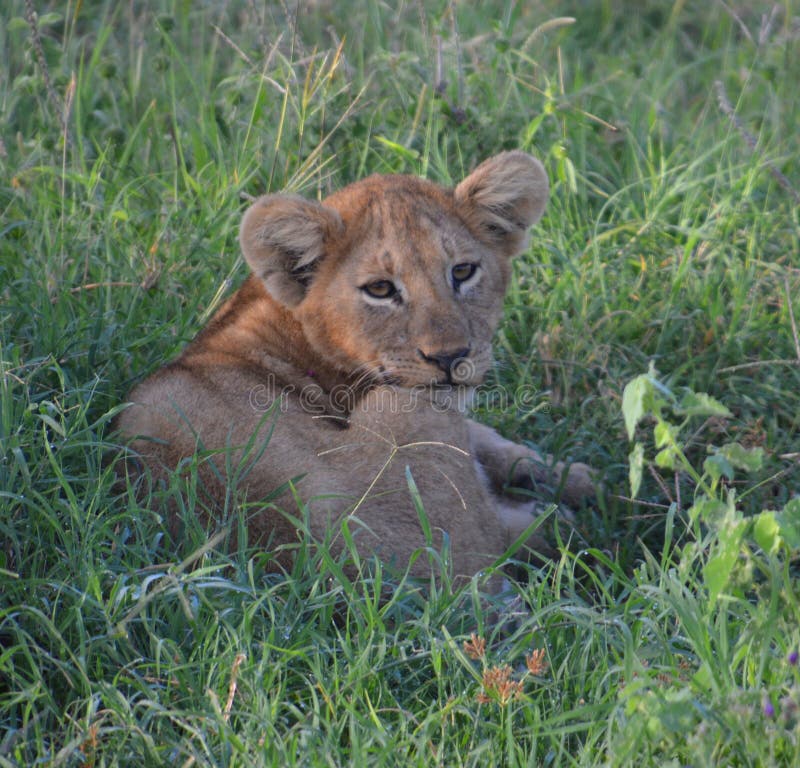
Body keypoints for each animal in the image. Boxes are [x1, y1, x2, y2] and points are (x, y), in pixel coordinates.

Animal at [115, 151, 594, 584]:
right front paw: (565, 487)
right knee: (514, 535)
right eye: (380, 289)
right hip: (406, 414)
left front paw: (567, 473)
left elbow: (489, 438)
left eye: (463, 271)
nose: (449, 357)